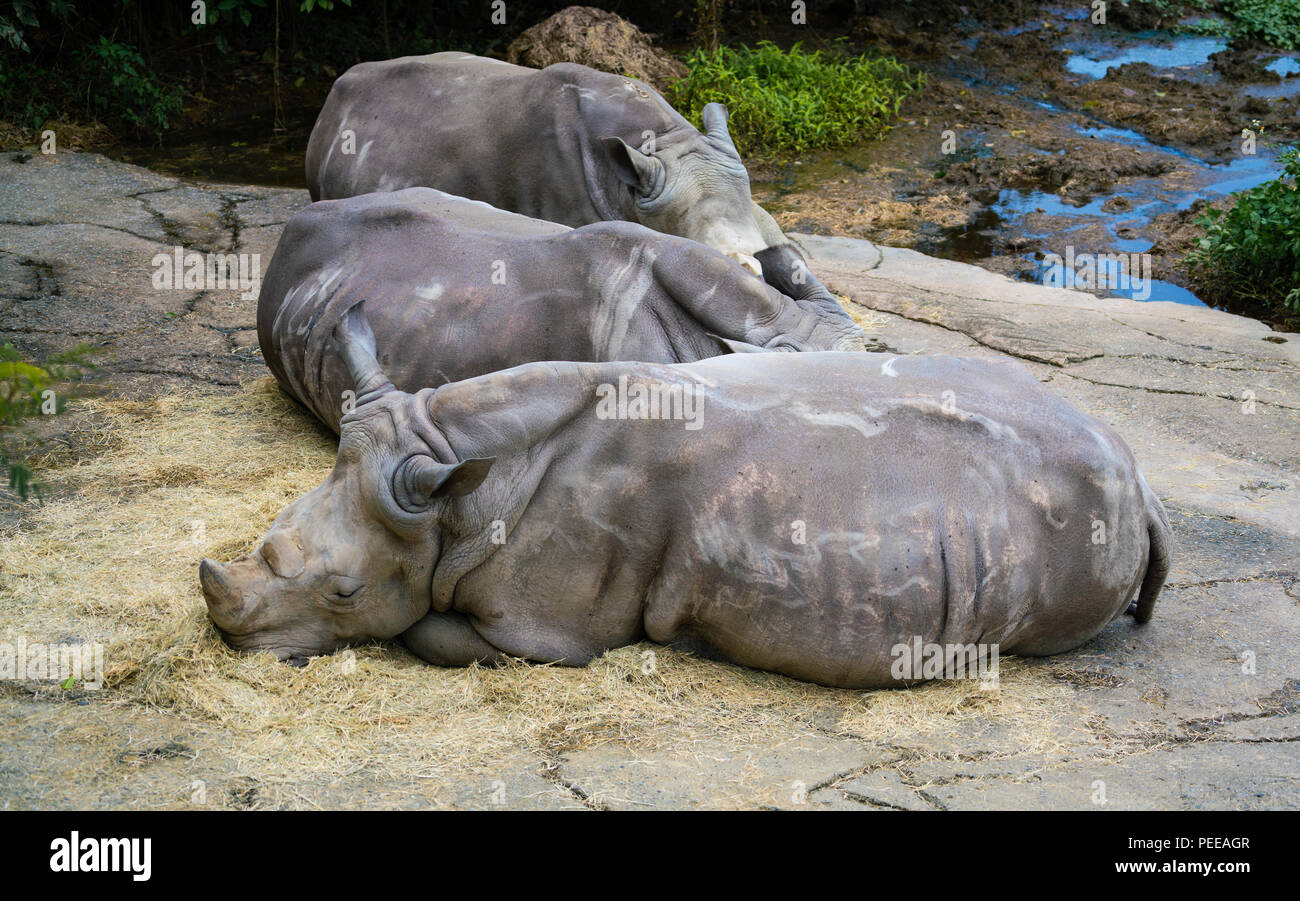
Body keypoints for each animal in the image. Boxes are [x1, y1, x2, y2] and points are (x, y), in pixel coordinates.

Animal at [200, 313, 1170, 688]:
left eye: (344, 593)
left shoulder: (545, 633)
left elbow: (426, 631)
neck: (454, 496)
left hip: (1077, 520)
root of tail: (1139, 472)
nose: (223, 630)